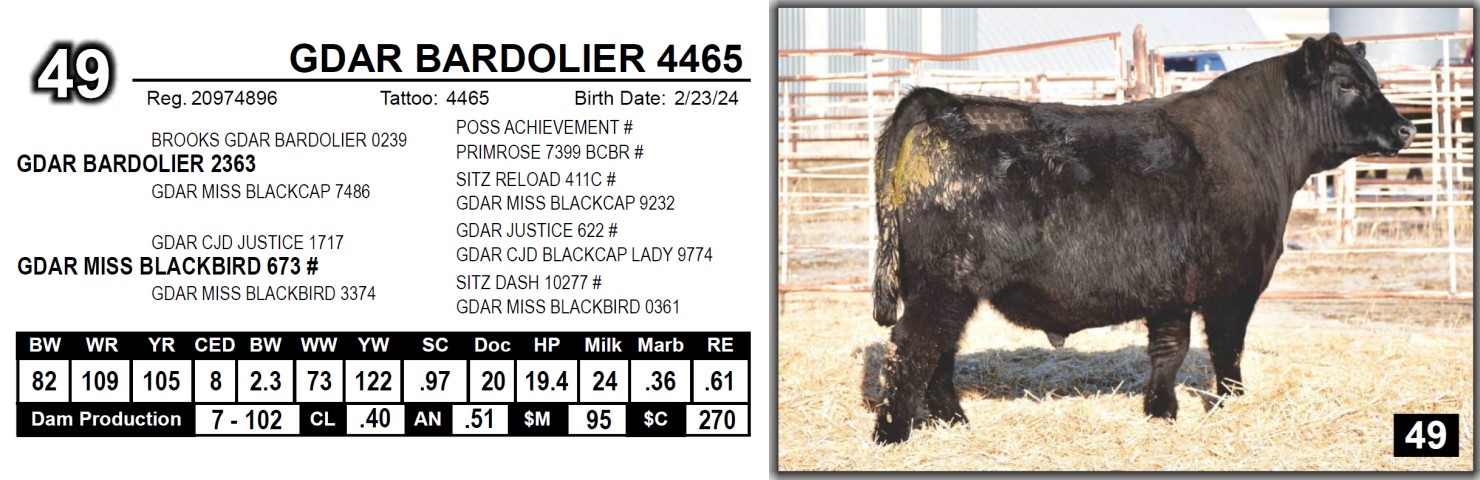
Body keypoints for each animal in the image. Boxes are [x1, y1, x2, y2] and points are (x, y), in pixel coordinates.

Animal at [870, 33, 1414, 444]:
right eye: (1346, 83)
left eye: (1373, 78)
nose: (1407, 128)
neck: (1261, 148)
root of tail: (940, 101)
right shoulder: (1233, 287)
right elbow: (1227, 352)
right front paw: (1231, 405)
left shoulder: (1170, 290)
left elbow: (1169, 350)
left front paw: (1162, 411)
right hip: (945, 284)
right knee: (914, 346)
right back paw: (894, 433)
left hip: (944, 287)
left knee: (940, 351)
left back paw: (953, 420)